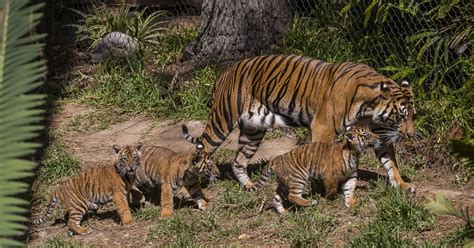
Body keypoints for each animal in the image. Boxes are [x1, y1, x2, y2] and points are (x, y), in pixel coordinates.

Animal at [181, 55, 414, 192]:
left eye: (413, 115)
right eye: (401, 116)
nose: (411, 135)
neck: (369, 109)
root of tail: (224, 72)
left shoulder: (379, 134)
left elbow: (390, 161)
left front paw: (402, 185)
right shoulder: (323, 128)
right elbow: (321, 156)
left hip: (252, 131)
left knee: (238, 160)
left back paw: (250, 186)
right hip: (221, 121)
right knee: (201, 149)